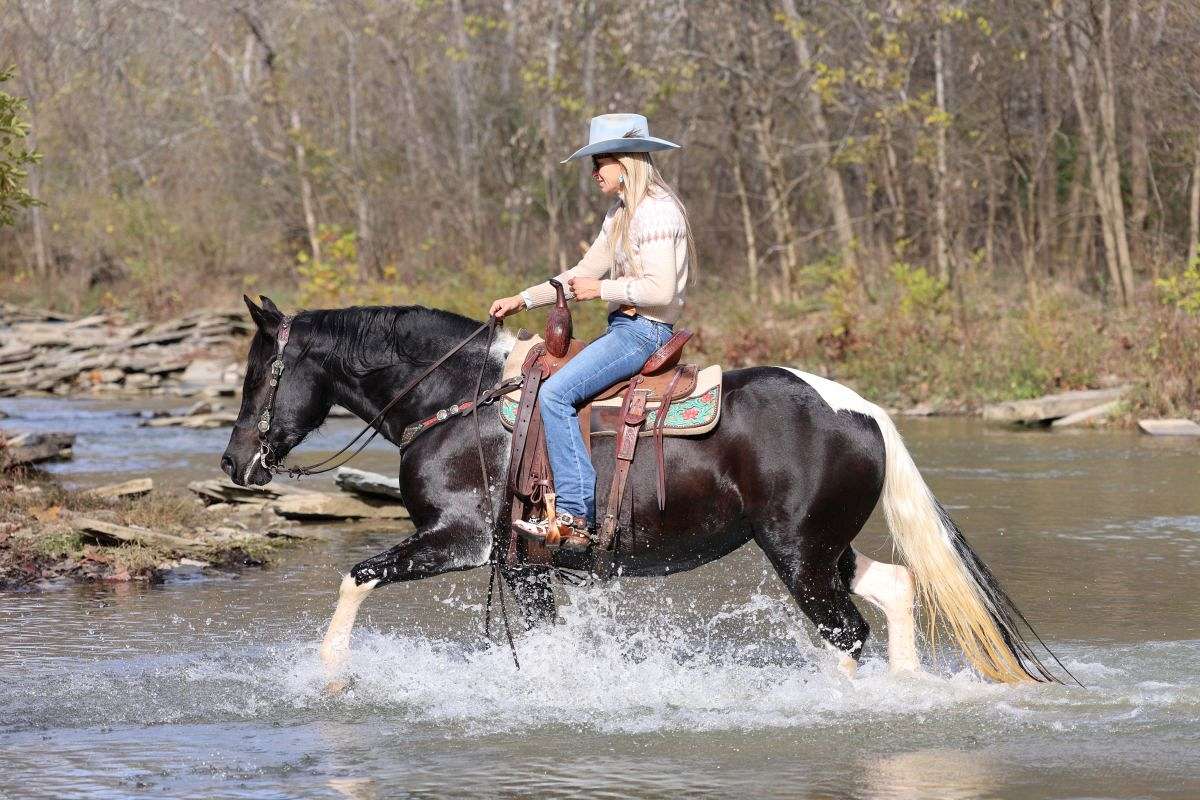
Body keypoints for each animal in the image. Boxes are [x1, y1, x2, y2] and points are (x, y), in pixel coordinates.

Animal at [220, 296, 1064, 686]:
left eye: (261, 373)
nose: (233, 463)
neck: (458, 402)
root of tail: (861, 410)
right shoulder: (523, 566)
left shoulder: (460, 540)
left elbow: (356, 575)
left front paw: (329, 674)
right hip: (820, 547)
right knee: (894, 589)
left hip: (799, 553)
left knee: (845, 630)